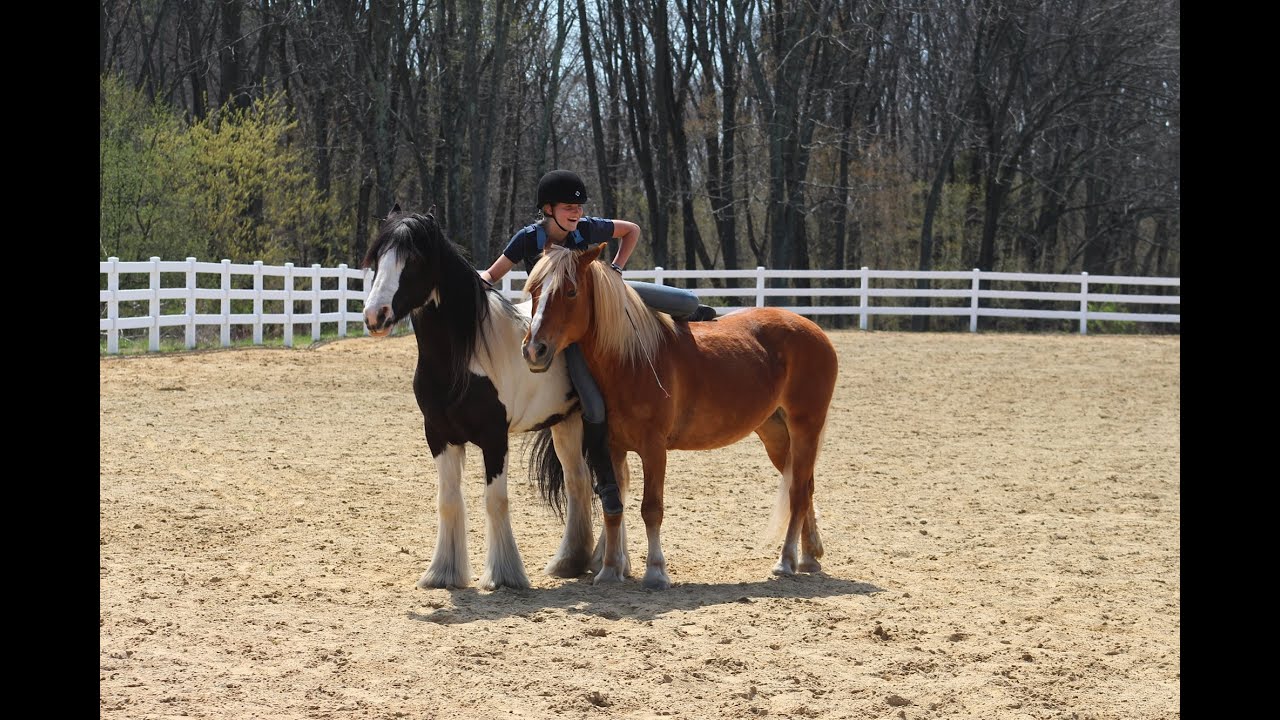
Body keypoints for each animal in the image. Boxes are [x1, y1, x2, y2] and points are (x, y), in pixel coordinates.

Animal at [362, 204, 605, 590]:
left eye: (412, 259)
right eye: (377, 257)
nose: (375, 316)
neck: (464, 359)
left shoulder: (494, 439)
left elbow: (495, 501)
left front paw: (505, 574)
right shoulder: (439, 436)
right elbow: (448, 500)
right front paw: (444, 573)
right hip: (566, 424)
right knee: (578, 482)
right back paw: (570, 562)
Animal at [521, 243, 839, 589]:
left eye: (570, 291)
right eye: (534, 289)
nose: (534, 349)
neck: (632, 360)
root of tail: (815, 331)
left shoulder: (654, 448)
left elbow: (651, 509)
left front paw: (656, 572)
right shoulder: (613, 448)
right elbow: (613, 507)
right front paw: (609, 569)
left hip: (805, 428)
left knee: (797, 493)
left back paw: (786, 560)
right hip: (777, 435)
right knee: (805, 486)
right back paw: (809, 556)